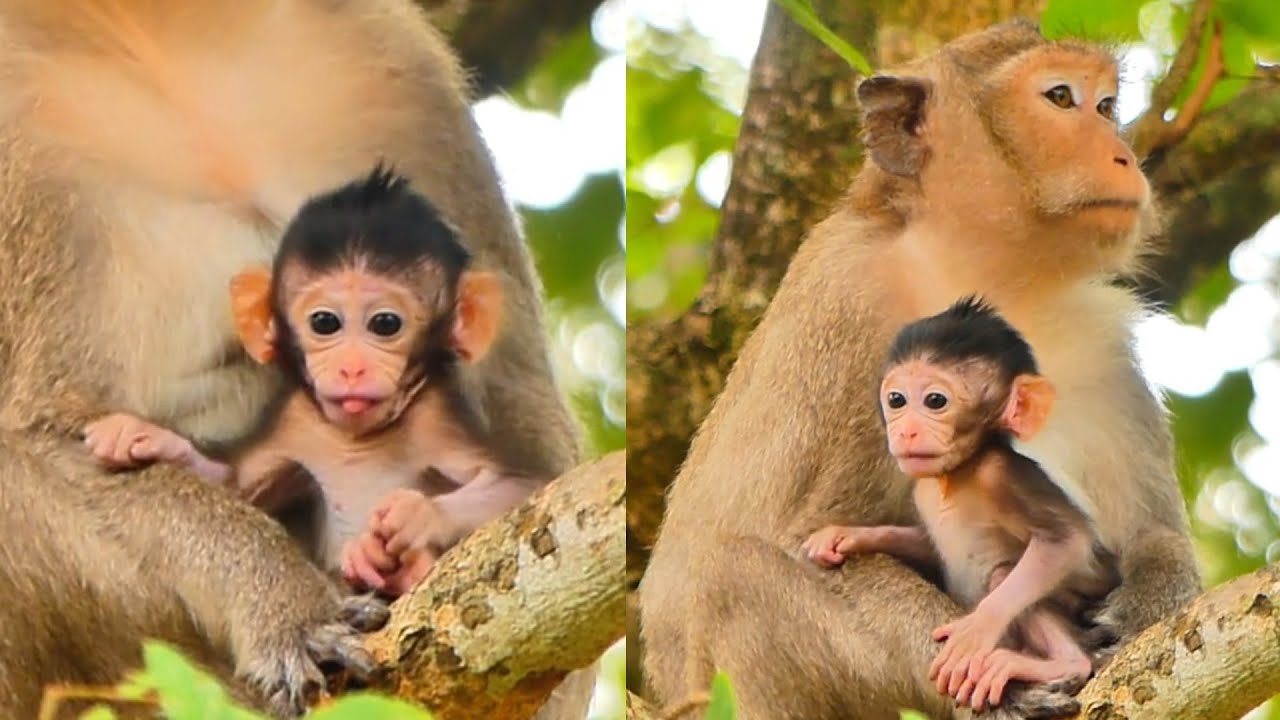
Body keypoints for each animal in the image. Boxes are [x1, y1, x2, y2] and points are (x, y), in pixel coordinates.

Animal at [82, 167, 540, 598]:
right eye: (325, 322)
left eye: (385, 324)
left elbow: (520, 486)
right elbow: (237, 483)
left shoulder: (437, 416)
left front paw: (419, 514)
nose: (352, 368)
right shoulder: (294, 420)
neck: (354, 440)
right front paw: (147, 437)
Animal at [802, 297, 1120, 713]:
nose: (905, 431)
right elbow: (925, 544)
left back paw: (1059, 663)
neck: (955, 478)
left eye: (935, 401)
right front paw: (849, 536)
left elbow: (1068, 540)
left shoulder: (999, 473)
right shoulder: (921, 489)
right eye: (896, 400)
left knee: (1004, 575)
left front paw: (975, 630)